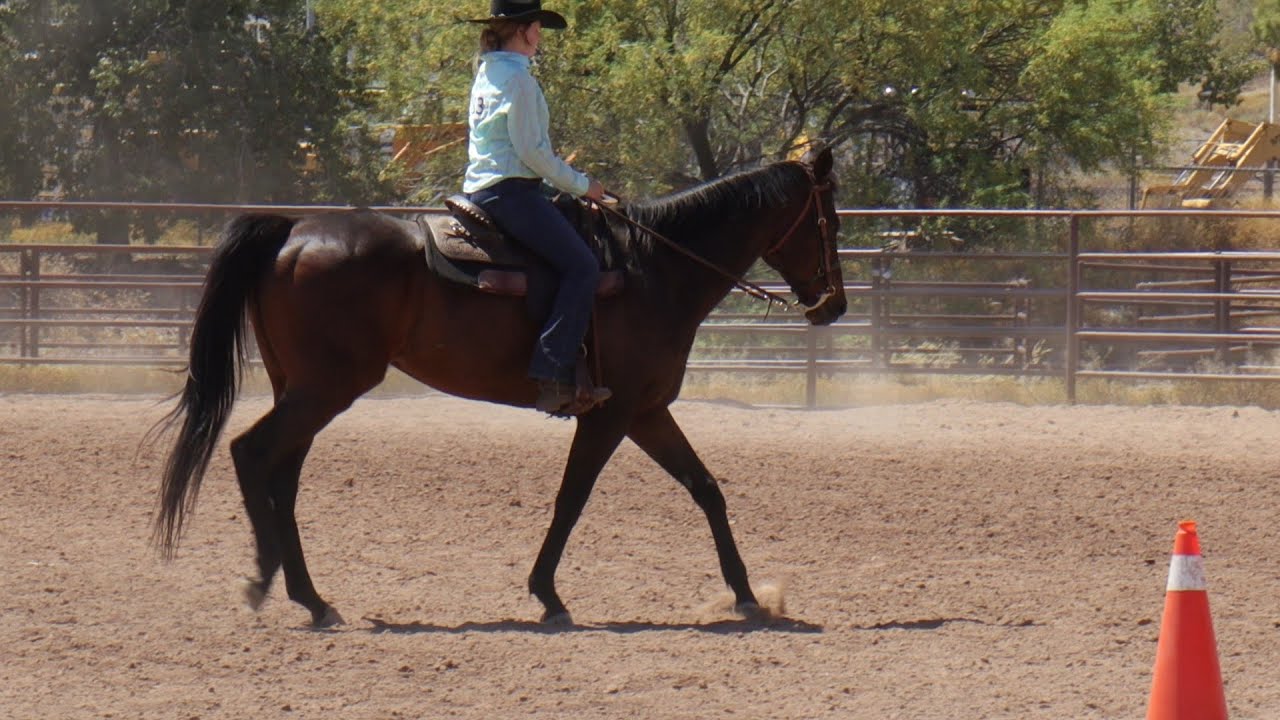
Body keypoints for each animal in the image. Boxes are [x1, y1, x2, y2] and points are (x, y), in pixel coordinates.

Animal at [152, 147, 847, 627]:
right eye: (829, 222)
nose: (834, 305)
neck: (655, 270)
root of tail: (293, 230)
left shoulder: (646, 412)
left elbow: (706, 489)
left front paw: (747, 595)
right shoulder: (610, 414)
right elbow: (572, 499)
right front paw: (548, 596)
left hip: (301, 388)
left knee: (282, 476)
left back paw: (312, 598)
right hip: (325, 388)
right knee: (251, 453)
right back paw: (268, 581)